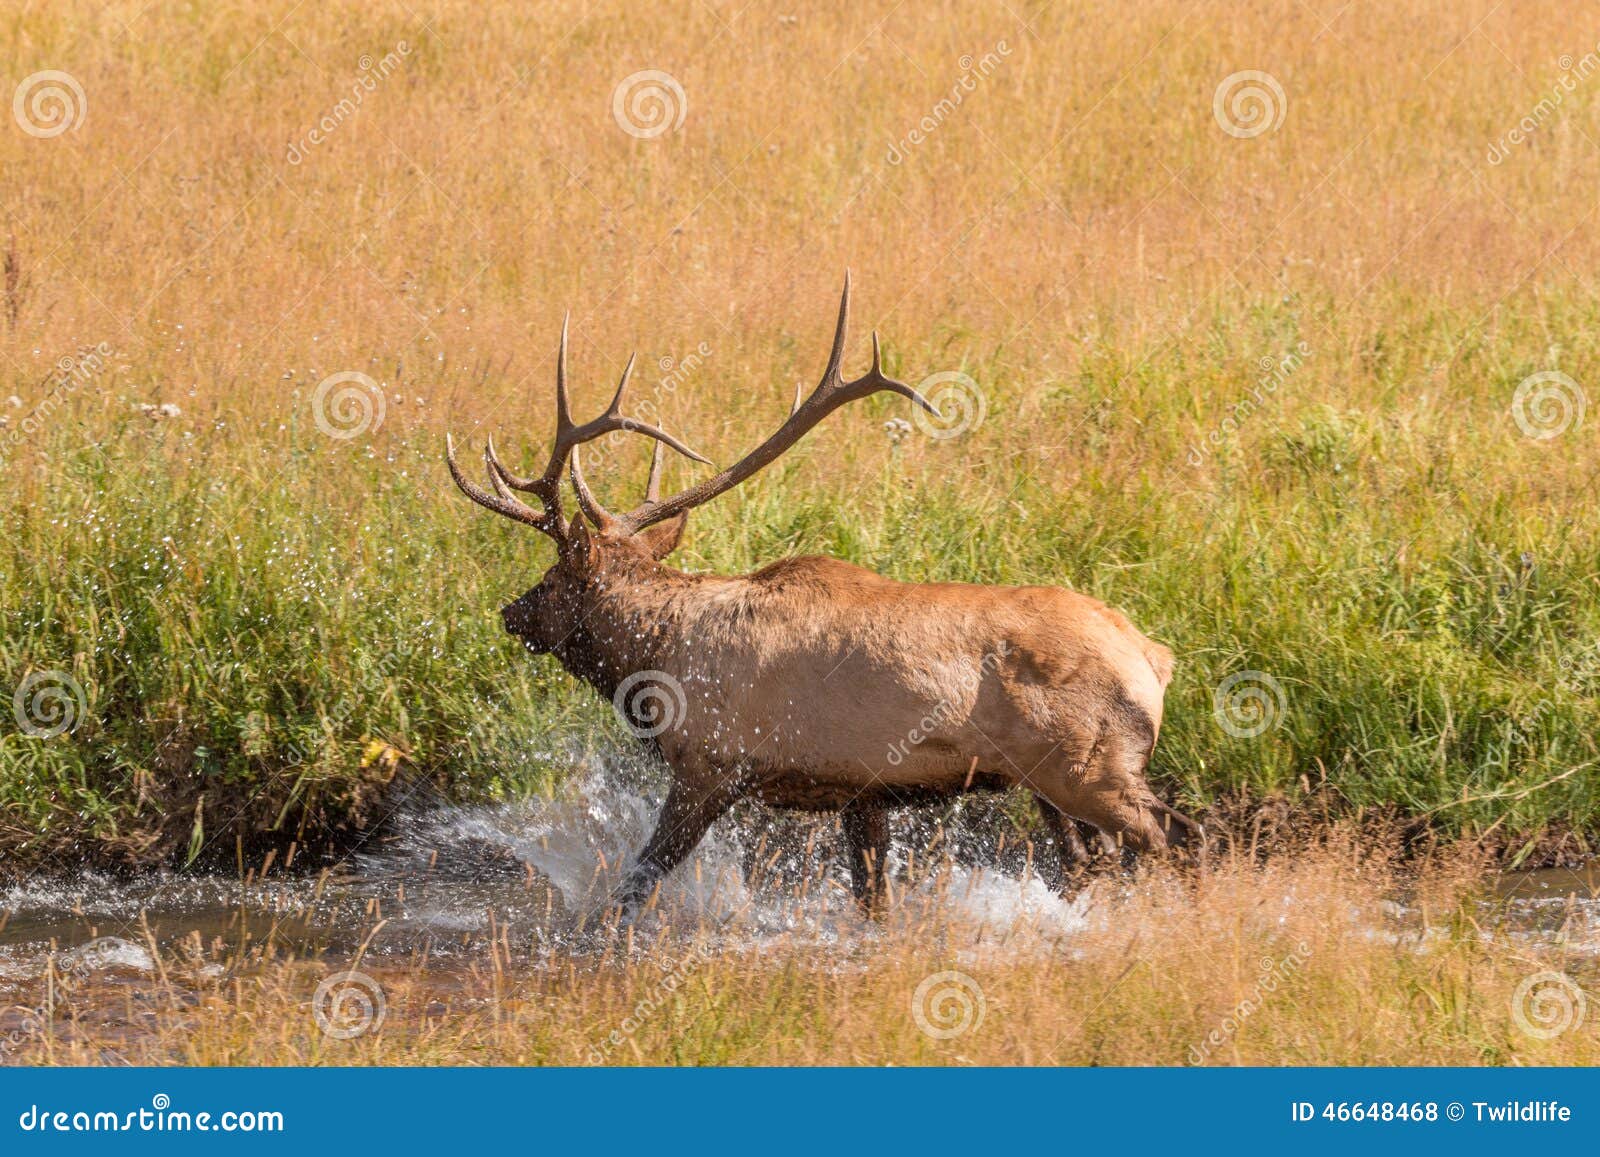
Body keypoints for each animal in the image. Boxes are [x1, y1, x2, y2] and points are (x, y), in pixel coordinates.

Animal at [446, 276, 1202, 917]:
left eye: (551, 580)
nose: (510, 612)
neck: (655, 663)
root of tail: (1155, 657)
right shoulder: (860, 788)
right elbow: (872, 899)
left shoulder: (712, 766)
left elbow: (636, 883)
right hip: (1049, 783)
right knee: (1086, 862)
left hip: (1088, 765)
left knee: (1175, 835)